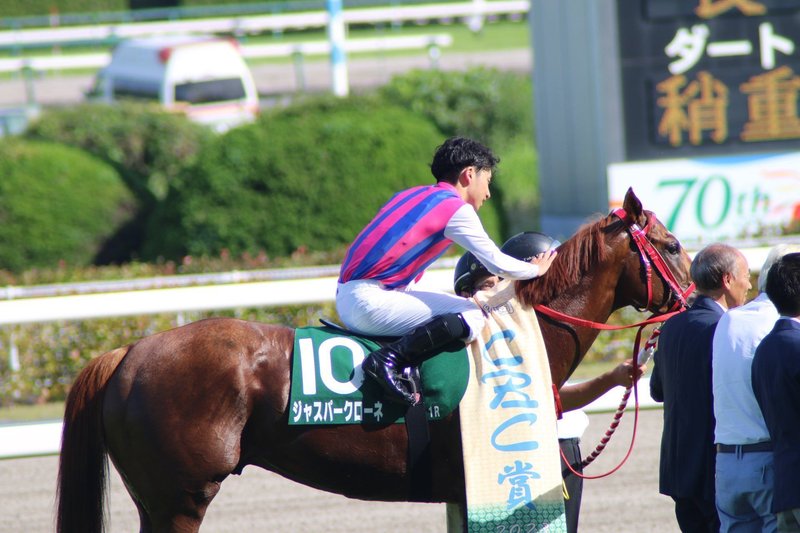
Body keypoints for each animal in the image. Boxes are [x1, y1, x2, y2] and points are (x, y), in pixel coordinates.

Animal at [56, 188, 692, 533]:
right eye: (671, 244)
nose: (692, 298)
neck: (519, 335)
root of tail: (128, 352)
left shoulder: (463, 493)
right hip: (181, 498)